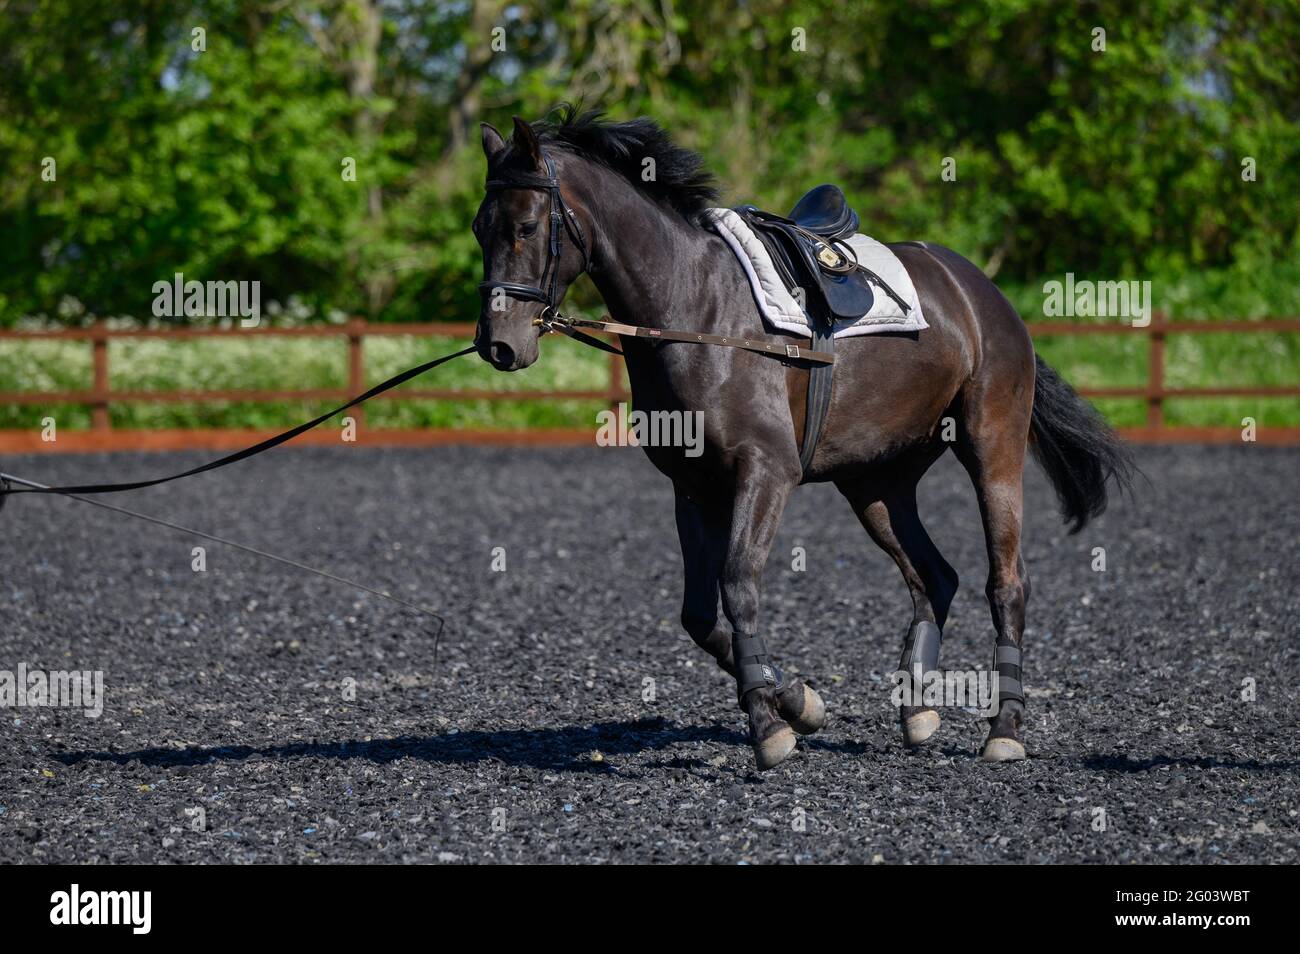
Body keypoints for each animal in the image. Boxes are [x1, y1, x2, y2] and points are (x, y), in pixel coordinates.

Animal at [471, 107, 1133, 771]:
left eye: (526, 226)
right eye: (480, 229)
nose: (497, 345)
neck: (695, 308)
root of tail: (981, 291)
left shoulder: (766, 472)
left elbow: (738, 585)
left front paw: (770, 727)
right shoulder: (693, 486)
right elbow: (699, 613)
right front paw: (797, 701)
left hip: (991, 447)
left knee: (1007, 583)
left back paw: (1005, 729)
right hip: (875, 483)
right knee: (933, 577)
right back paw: (918, 710)